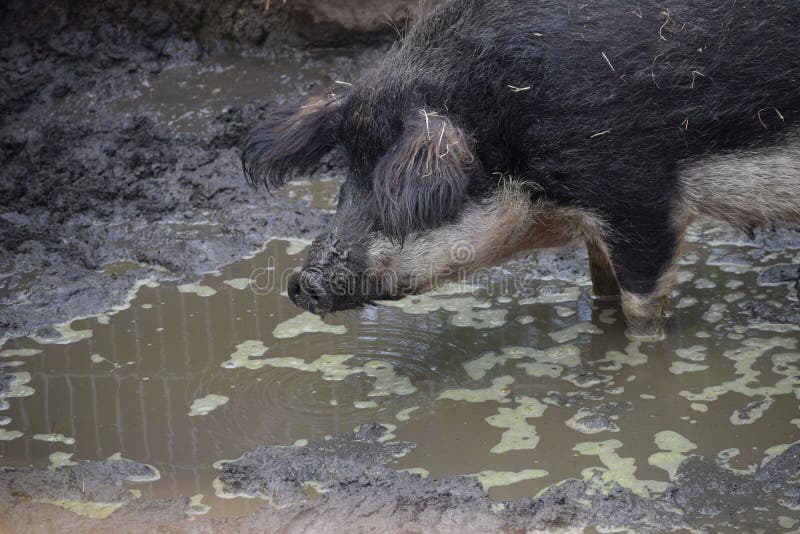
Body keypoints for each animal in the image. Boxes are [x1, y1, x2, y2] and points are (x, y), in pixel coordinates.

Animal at [242, 0, 800, 338]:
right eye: (347, 179)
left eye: (393, 190)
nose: (303, 280)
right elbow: (601, 285)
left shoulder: (639, 192)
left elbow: (642, 306)